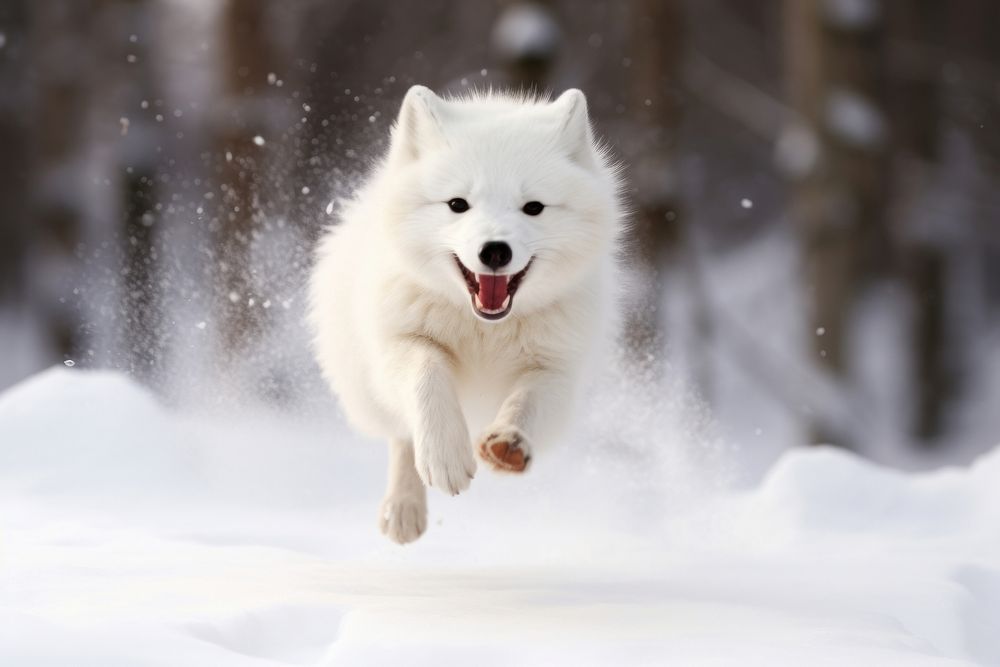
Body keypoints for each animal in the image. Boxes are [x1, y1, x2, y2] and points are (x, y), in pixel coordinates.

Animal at [309, 85, 623, 543]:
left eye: (533, 207)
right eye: (458, 204)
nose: (495, 251)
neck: (484, 329)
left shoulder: (557, 371)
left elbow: (525, 402)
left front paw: (508, 443)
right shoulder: (400, 344)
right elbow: (427, 373)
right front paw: (445, 455)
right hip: (365, 390)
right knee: (401, 435)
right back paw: (403, 510)